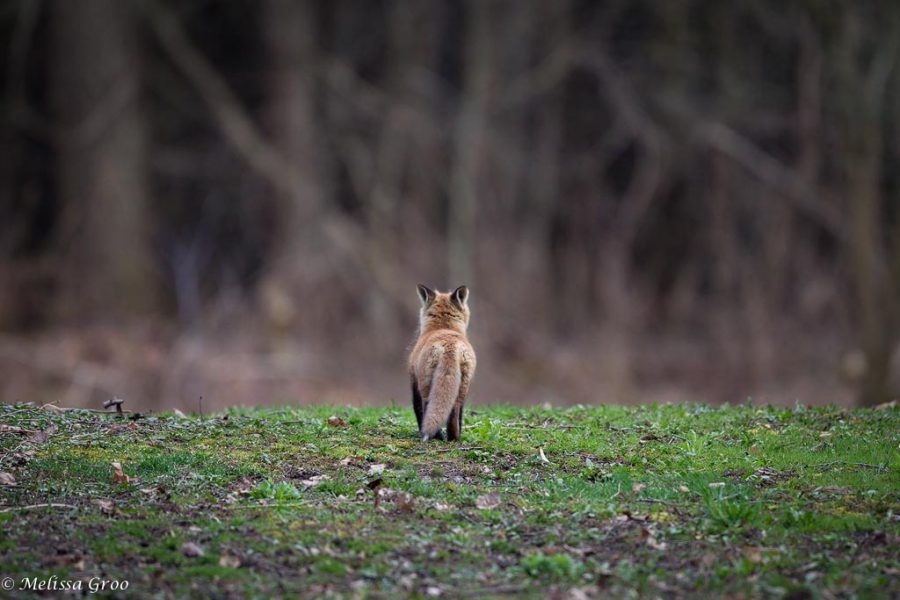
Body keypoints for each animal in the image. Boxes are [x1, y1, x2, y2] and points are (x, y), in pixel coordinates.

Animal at [408, 284, 476, 441]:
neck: (443, 327)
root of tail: (449, 346)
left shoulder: (414, 380)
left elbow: (417, 408)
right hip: (462, 388)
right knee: (455, 413)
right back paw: (454, 439)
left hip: (426, 385)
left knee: (427, 407)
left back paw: (435, 436)